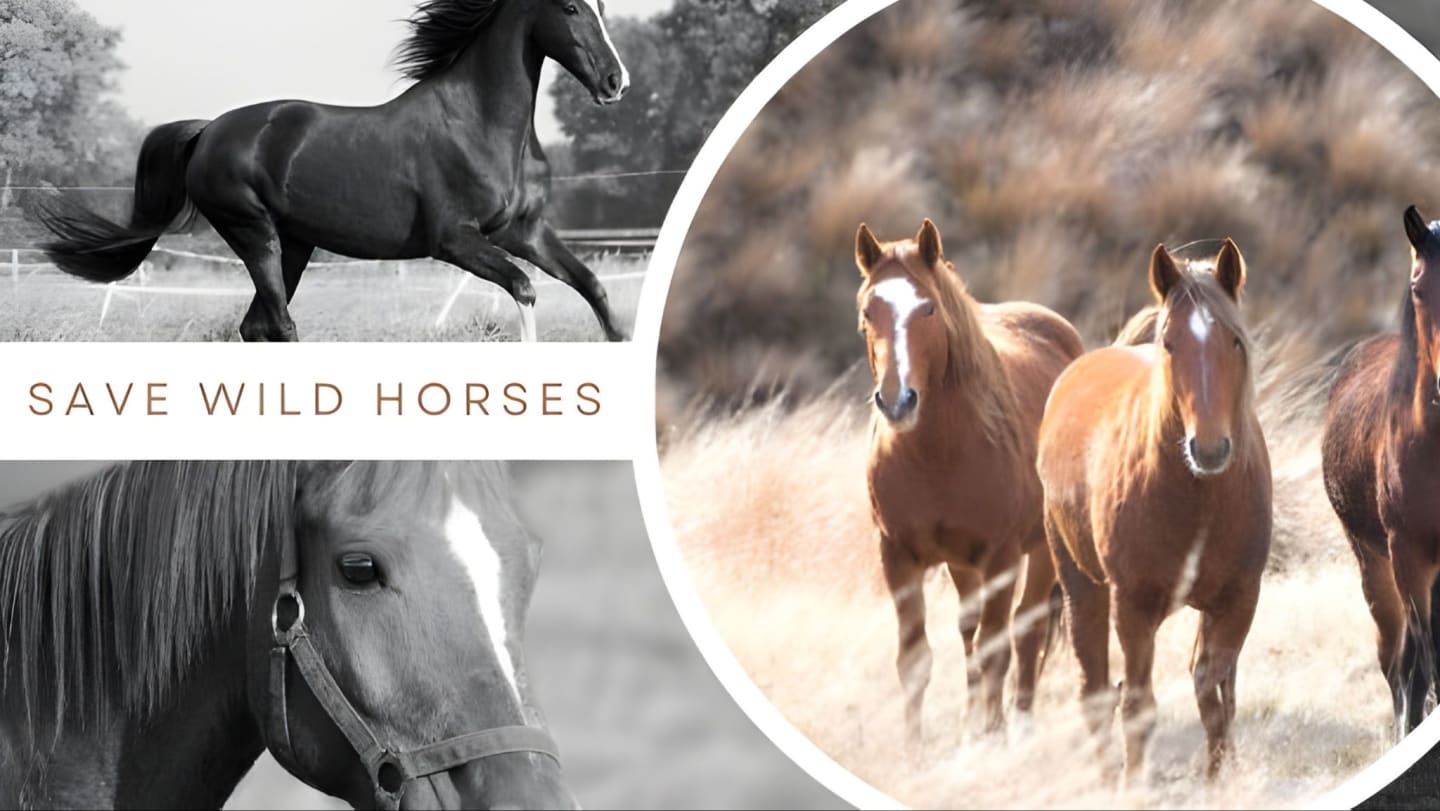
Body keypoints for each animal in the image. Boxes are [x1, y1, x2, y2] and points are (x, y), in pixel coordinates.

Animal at [35, 0, 630, 343]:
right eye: (571, 8)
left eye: (602, 6)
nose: (615, 82)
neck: (480, 122)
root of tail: (207, 132)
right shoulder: (455, 241)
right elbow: (525, 290)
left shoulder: (523, 232)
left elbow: (593, 287)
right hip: (256, 235)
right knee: (278, 323)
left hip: (295, 245)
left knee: (256, 326)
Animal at [857, 219, 1083, 741]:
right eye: (868, 311)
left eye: (928, 308)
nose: (897, 401)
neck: (938, 454)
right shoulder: (897, 555)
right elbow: (915, 659)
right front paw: (915, 747)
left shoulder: (1001, 556)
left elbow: (997, 646)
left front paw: (993, 736)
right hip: (961, 564)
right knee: (969, 629)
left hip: (1040, 550)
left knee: (1025, 628)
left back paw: (1019, 723)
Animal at [1037, 239, 1271, 782]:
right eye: (1170, 344)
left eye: (1233, 341)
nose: (1210, 448)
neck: (1201, 498)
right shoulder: (1133, 606)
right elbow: (1137, 705)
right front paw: (1132, 786)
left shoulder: (1240, 600)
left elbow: (1214, 691)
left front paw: (1219, 780)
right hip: (1083, 588)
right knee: (1096, 689)